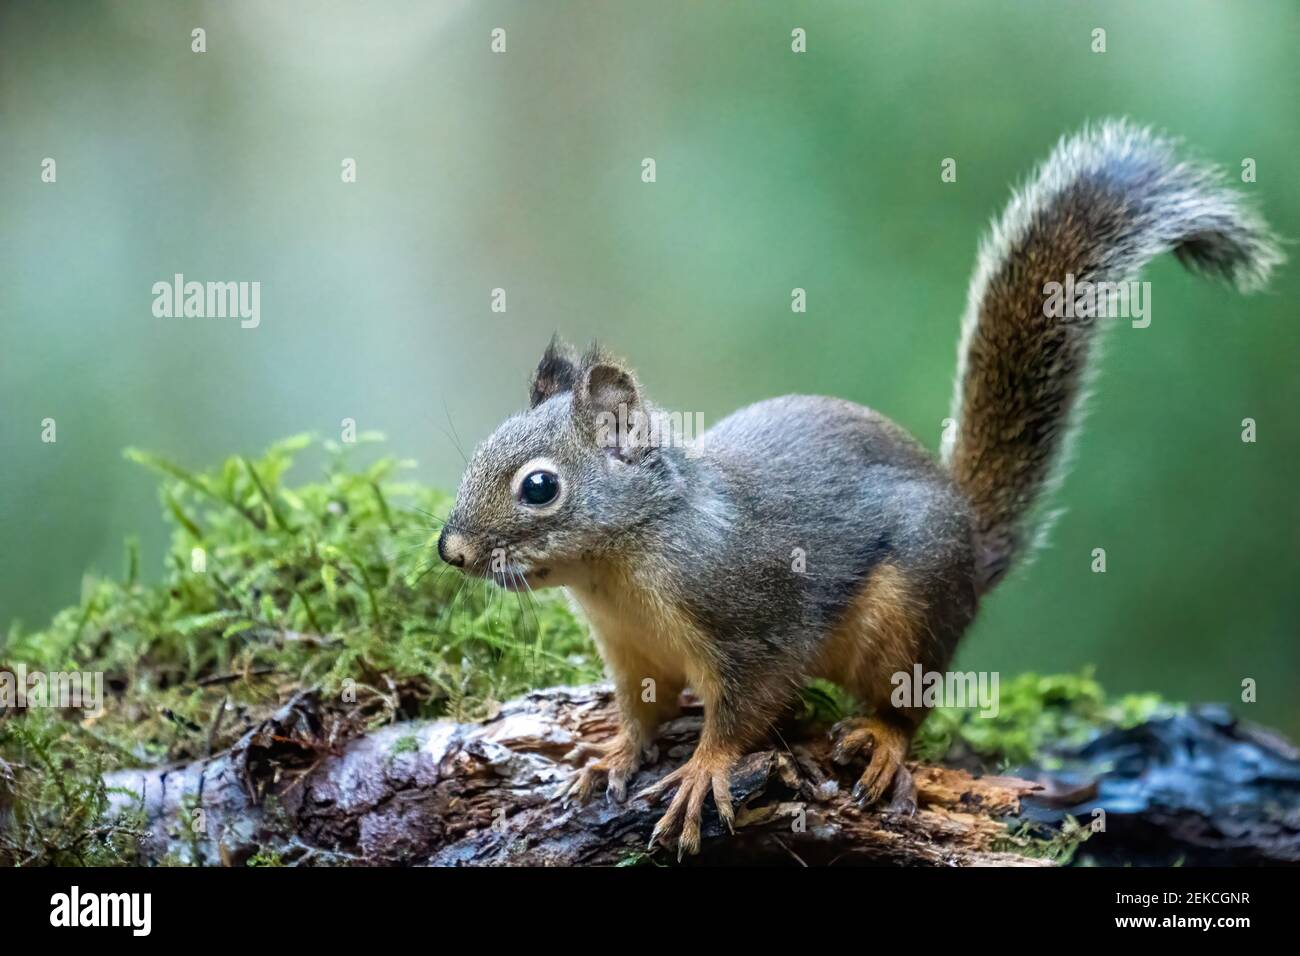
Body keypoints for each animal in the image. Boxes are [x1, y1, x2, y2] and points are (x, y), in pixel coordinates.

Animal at [438, 121, 1281, 857]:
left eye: (539, 487)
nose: (450, 550)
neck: (623, 565)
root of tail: (970, 537)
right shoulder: (632, 651)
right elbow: (642, 713)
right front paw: (612, 753)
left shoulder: (752, 624)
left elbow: (744, 712)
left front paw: (704, 770)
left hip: (908, 612)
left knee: (909, 703)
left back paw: (881, 741)